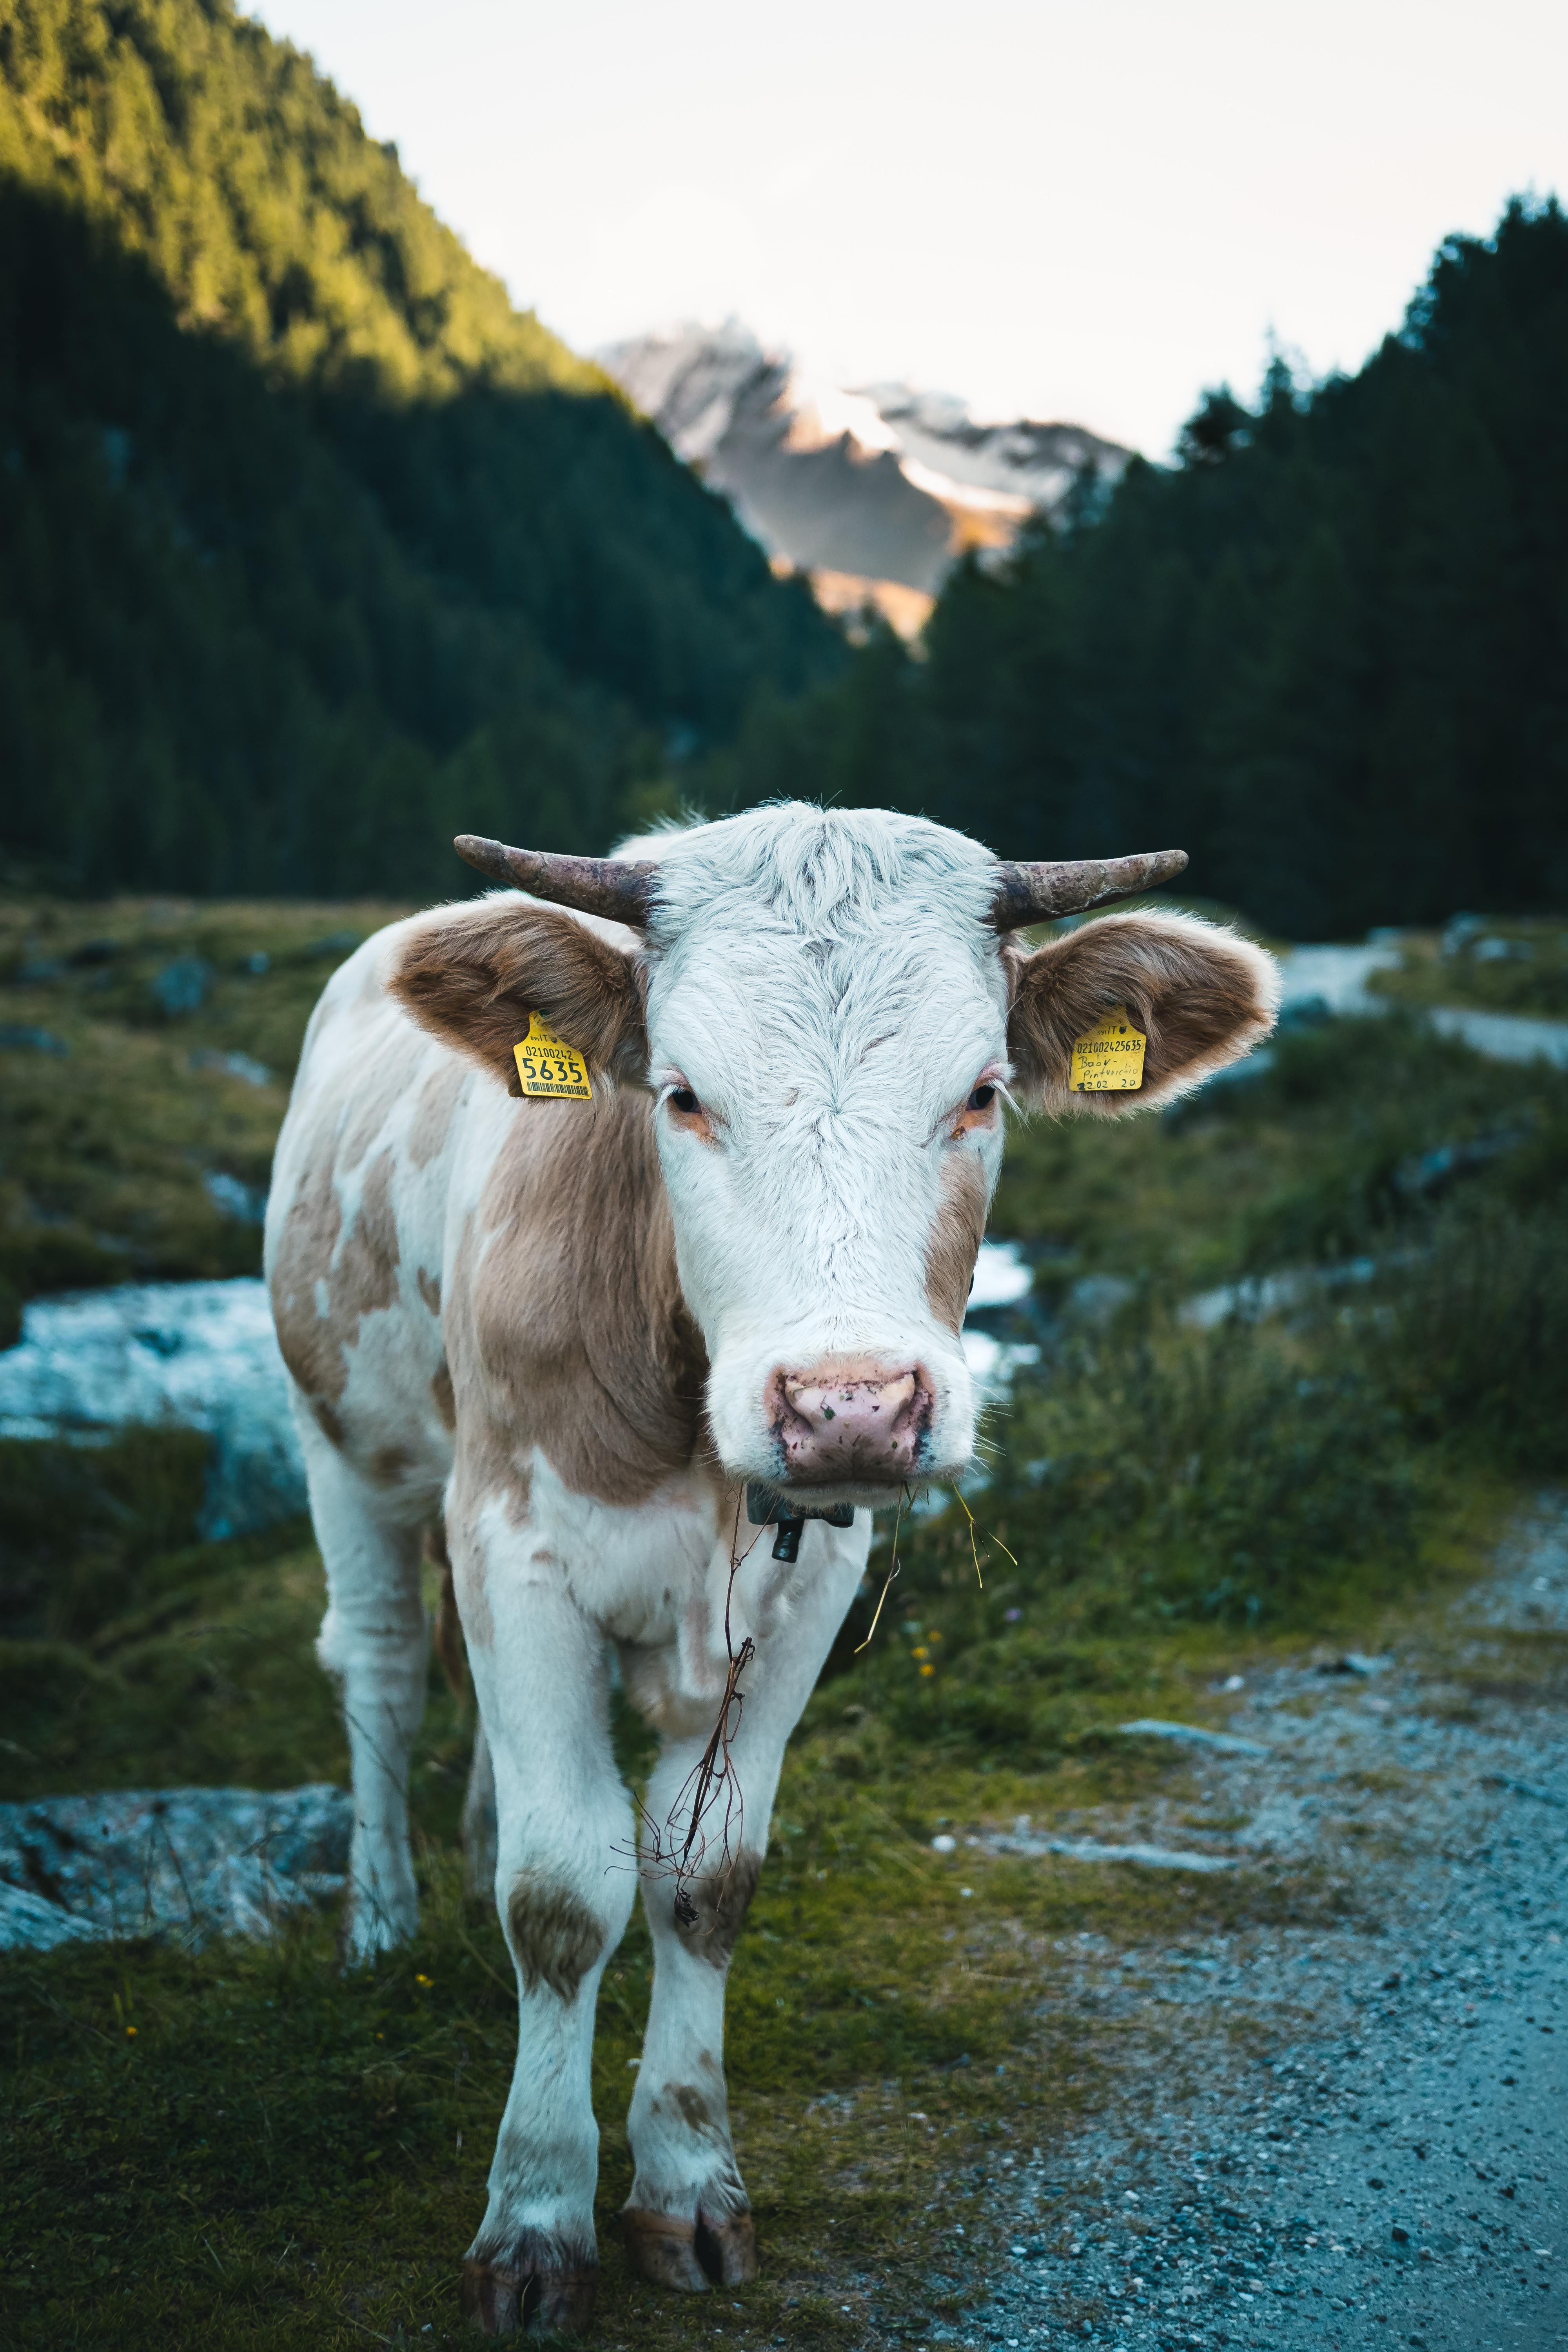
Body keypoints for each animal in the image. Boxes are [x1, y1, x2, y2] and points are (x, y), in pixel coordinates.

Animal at [264, 803, 1277, 2335]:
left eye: (983, 1090)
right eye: (681, 1094)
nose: (850, 1406)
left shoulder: (809, 1591)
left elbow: (706, 1879)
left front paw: (686, 2184)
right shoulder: (516, 1542)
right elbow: (560, 1896)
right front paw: (536, 2215)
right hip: (352, 1444)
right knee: (379, 1666)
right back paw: (379, 1923)